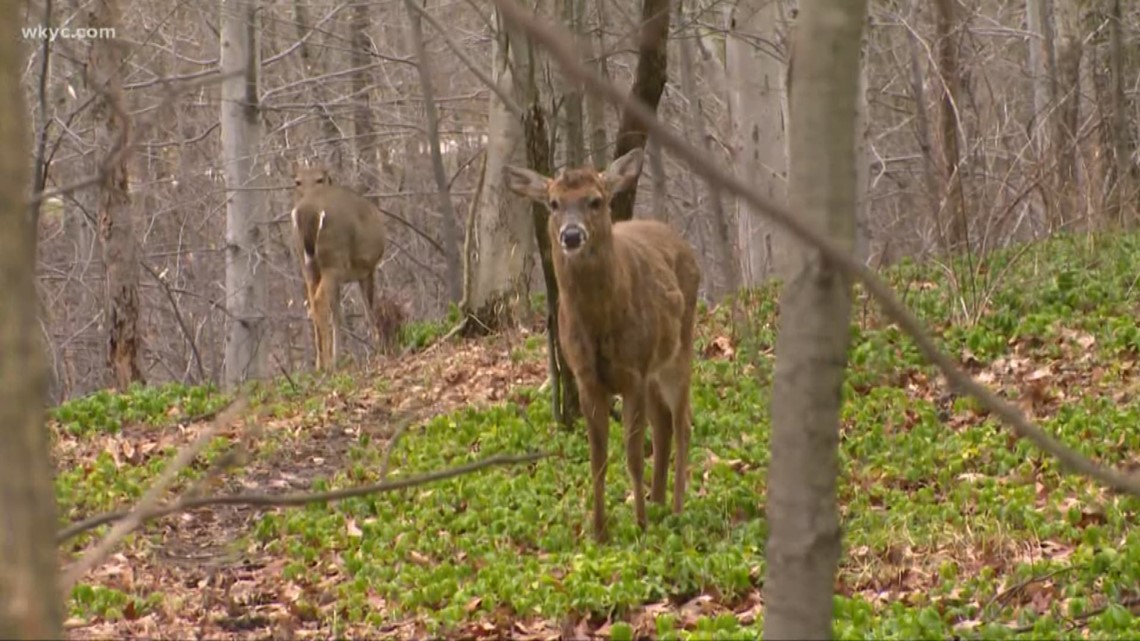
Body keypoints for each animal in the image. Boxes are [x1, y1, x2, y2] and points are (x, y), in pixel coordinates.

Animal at [290, 161, 387, 371]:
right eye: (297, 182)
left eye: (319, 179)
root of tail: (309, 211)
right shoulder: (367, 268)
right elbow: (368, 309)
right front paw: (377, 348)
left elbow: (337, 311)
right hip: (333, 260)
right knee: (319, 302)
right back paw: (328, 364)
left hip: (307, 263)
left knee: (313, 303)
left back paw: (320, 363)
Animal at [504, 148, 701, 542]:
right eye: (553, 203)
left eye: (595, 201)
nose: (571, 235)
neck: (599, 323)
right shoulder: (587, 378)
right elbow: (598, 457)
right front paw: (598, 532)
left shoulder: (632, 372)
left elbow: (632, 453)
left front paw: (639, 526)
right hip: (653, 368)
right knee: (664, 424)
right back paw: (657, 501)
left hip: (678, 349)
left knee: (682, 422)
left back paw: (674, 508)